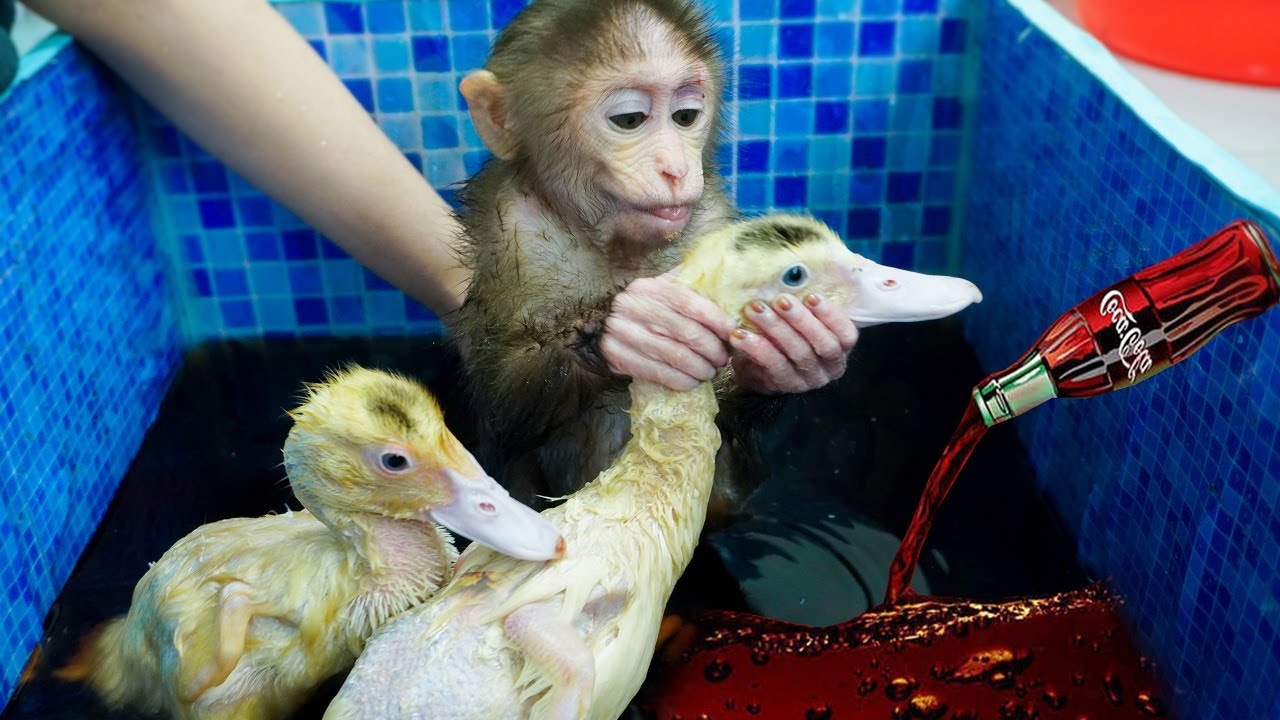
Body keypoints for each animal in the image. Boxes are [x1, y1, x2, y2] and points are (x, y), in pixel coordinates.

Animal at [449, 0, 860, 523]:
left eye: (685, 116)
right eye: (630, 120)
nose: (677, 168)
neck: (613, 243)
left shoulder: (710, 216)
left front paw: (781, 361)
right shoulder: (509, 226)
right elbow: (498, 411)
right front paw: (627, 328)